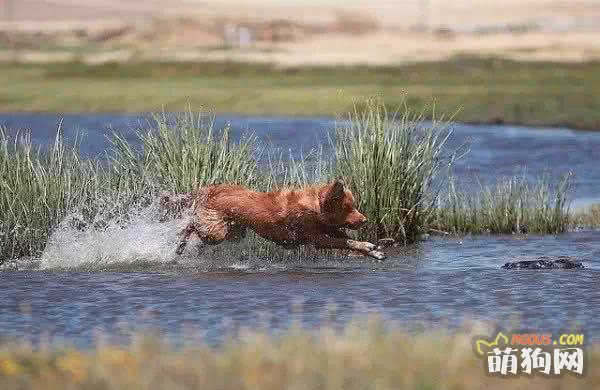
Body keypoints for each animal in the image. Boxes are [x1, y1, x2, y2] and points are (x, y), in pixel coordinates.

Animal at [166, 179, 386, 258]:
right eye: (348, 207)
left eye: (354, 206)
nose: (365, 220)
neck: (315, 206)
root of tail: (211, 190)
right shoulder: (318, 239)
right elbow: (346, 241)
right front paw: (368, 247)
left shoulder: (329, 228)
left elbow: (346, 237)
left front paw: (374, 249)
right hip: (217, 232)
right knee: (191, 225)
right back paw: (179, 242)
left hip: (233, 233)